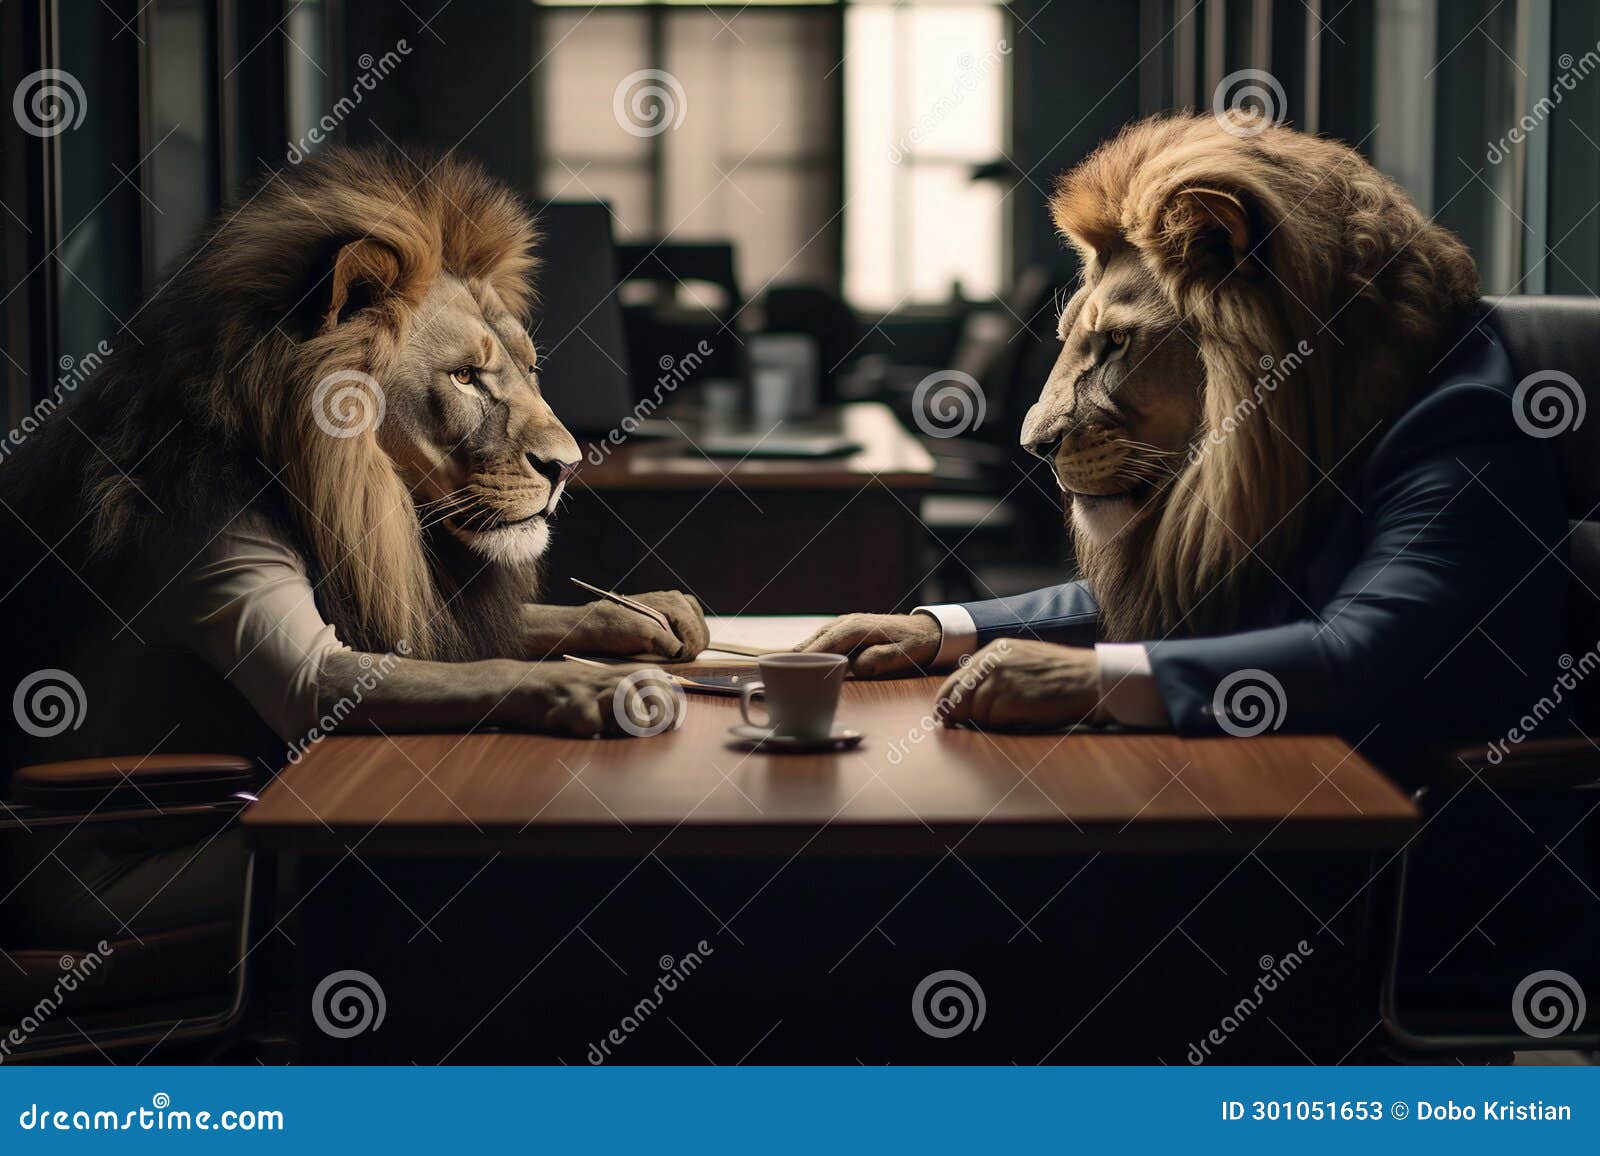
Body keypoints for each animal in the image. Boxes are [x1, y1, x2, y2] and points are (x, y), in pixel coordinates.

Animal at [0, 146, 706, 770]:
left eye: (530, 370)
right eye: (465, 377)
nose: (567, 465)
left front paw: (658, 611)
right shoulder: (229, 565)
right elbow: (479, 666)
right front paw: (604, 688)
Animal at [800, 111, 1553, 734]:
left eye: (1116, 343)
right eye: (1069, 339)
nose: (1032, 446)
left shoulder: (1445, 436)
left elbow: (1340, 646)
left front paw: (1021, 670)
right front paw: (885, 629)